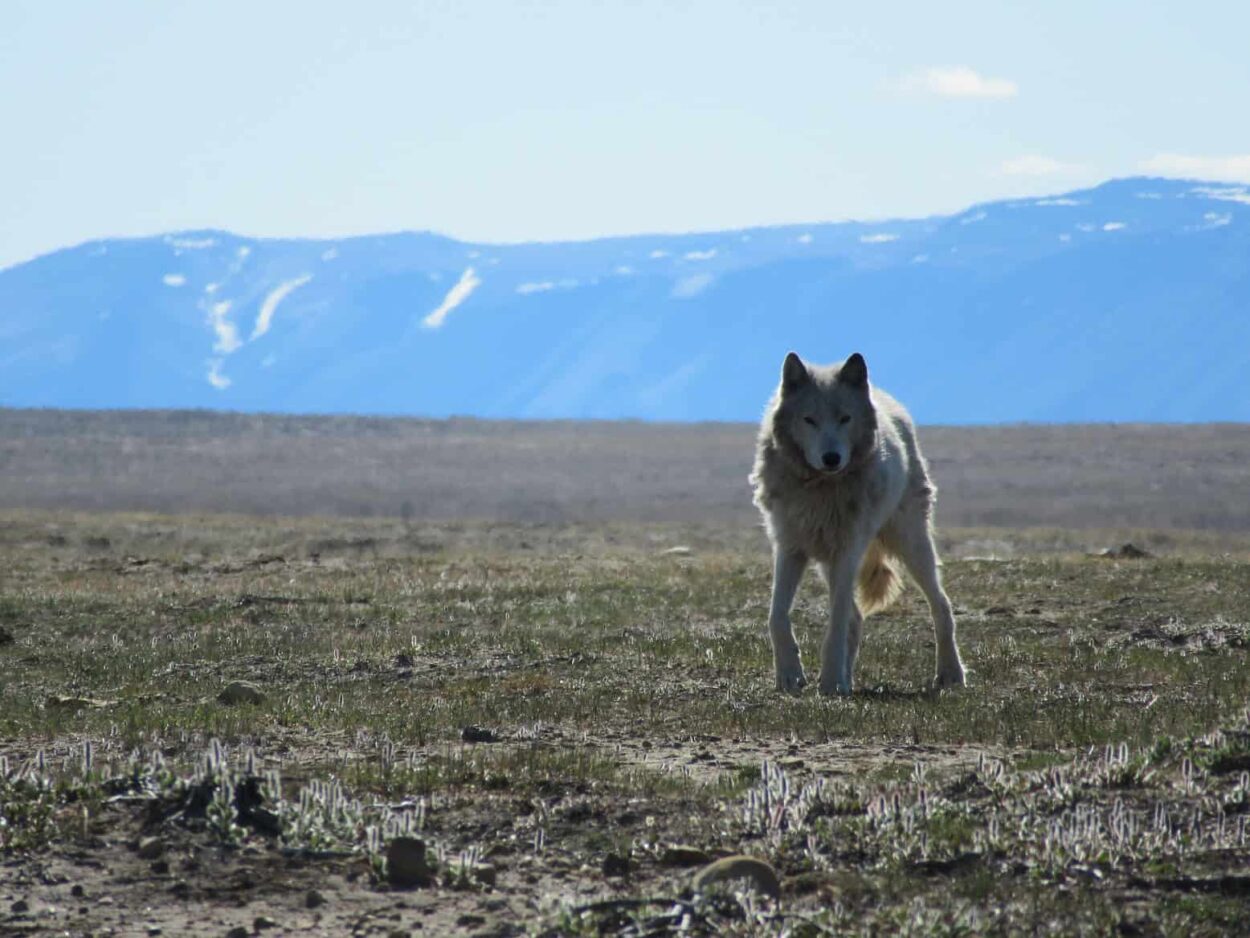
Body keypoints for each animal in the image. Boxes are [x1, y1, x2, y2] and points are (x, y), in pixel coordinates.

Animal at [750, 351, 966, 696]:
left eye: (844, 418)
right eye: (809, 420)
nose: (831, 458)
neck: (821, 488)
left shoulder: (847, 551)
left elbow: (836, 622)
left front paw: (830, 681)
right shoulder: (790, 548)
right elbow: (776, 616)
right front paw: (790, 675)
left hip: (910, 542)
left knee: (941, 605)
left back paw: (950, 674)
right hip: (826, 562)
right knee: (856, 617)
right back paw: (849, 680)